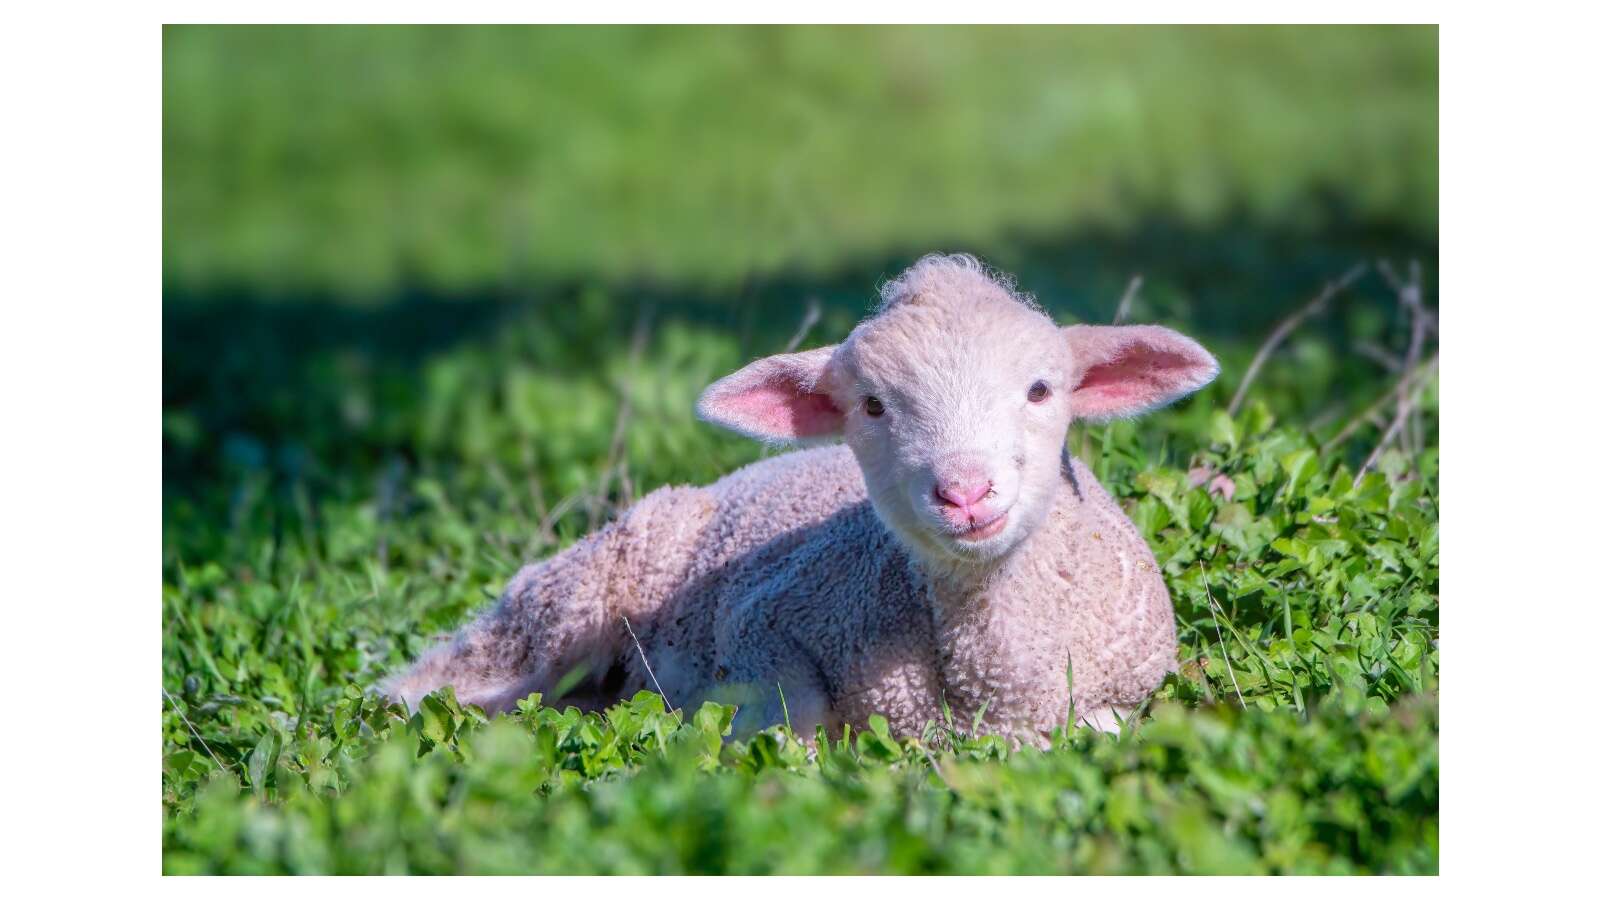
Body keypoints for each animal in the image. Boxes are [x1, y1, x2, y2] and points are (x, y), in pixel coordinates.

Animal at [383, 253, 1219, 743]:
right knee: (452, 675)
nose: (965, 492)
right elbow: (789, 713)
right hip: (577, 592)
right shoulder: (764, 622)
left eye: (1041, 390)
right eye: (873, 406)